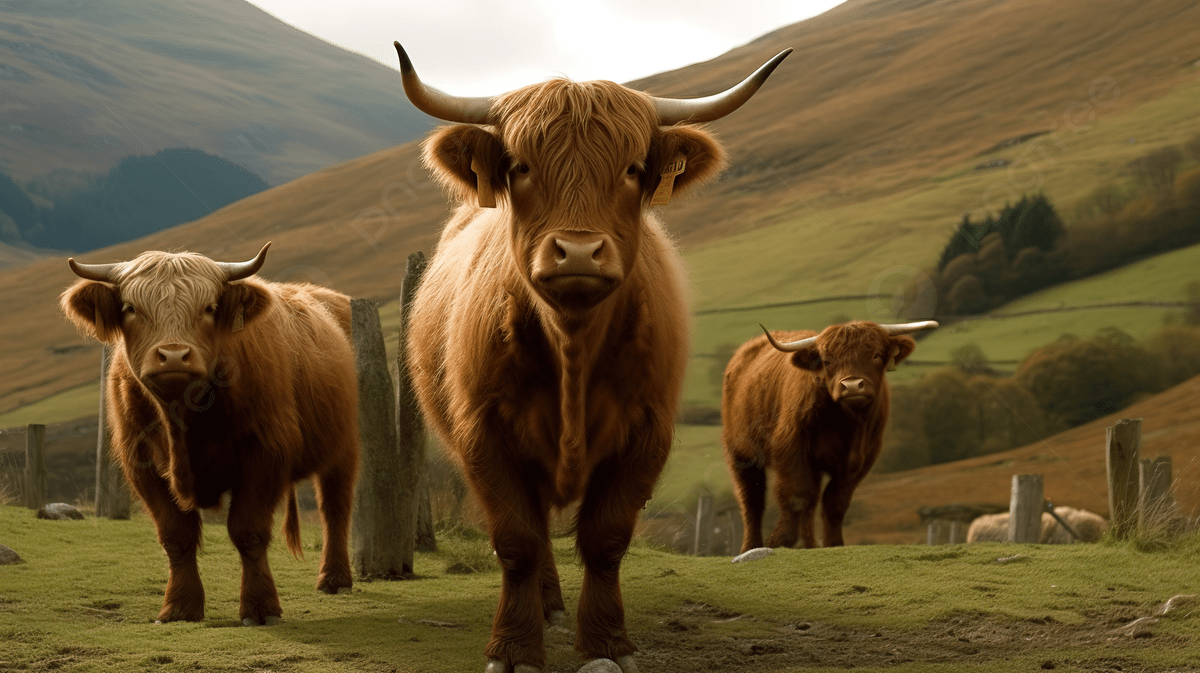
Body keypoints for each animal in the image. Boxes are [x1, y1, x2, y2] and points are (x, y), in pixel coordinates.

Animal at [59, 243, 359, 626]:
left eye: (209, 309)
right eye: (130, 308)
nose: (173, 355)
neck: (181, 418)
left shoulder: (266, 452)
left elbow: (248, 530)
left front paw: (261, 608)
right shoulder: (140, 462)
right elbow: (176, 534)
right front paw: (179, 608)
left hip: (345, 444)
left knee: (335, 507)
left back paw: (334, 579)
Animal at [395, 41, 790, 673]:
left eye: (632, 169)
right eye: (521, 166)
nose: (577, 251)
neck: (572, 345)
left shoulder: (647, 433)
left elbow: (606, 540)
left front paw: (609, 644)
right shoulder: (484, 434)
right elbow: (517, 541)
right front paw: (514, 648)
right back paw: (546, 606)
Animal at [722, 320, 938, 552]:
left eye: (876, 355)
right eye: (827, 361)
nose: (852, 385)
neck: (848, 422)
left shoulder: (861, 459)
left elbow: (835, 502)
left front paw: (833, 544)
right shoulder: (790, 447)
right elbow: (796, 494)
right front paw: (780, 541)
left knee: (811, 500)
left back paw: (809, 545)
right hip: (740, 453)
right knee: (751, 499)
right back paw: (750, 547)